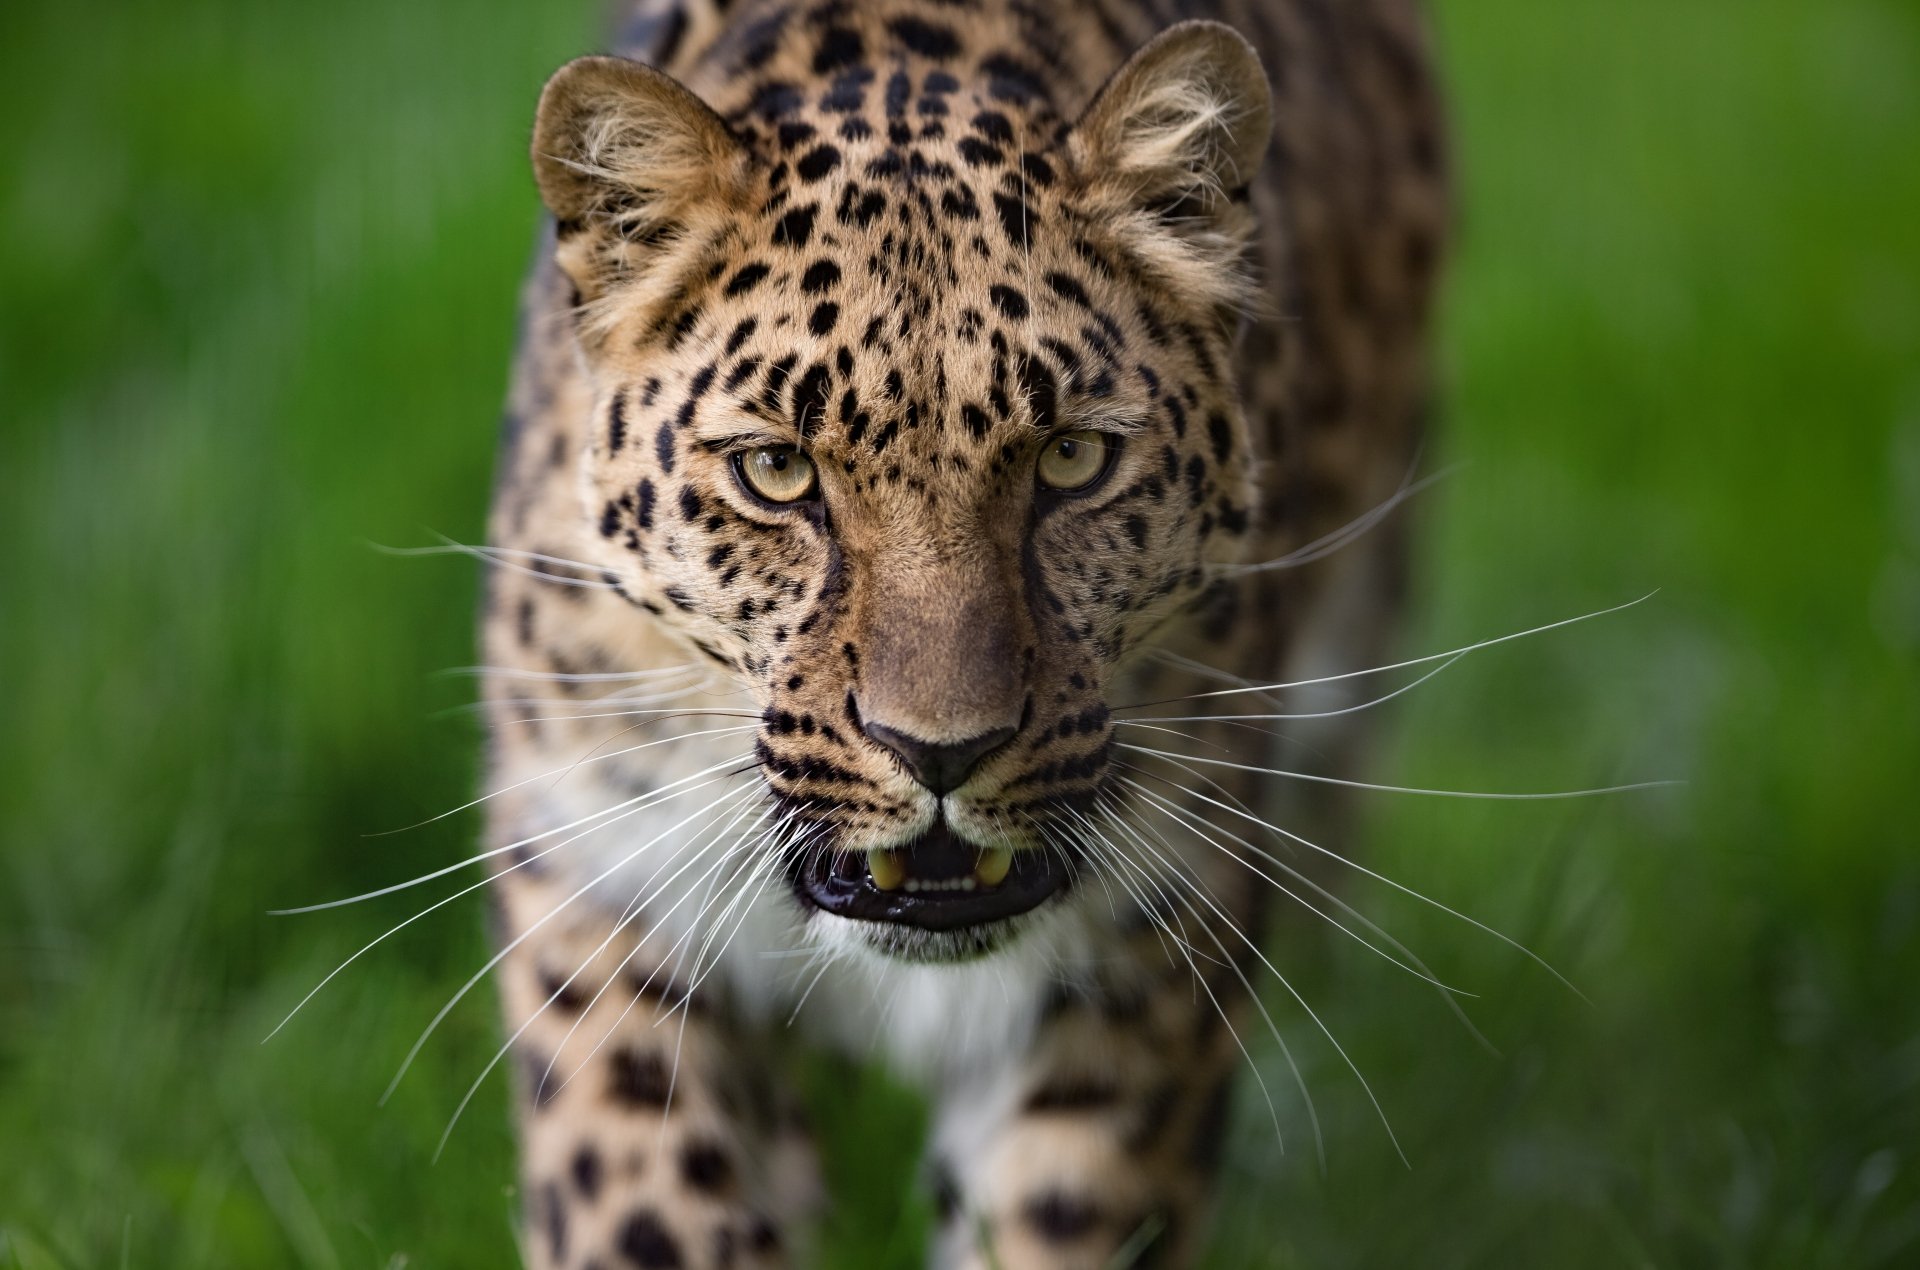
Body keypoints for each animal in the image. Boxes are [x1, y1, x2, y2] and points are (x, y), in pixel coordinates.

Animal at [477, 0, 1445, 1264]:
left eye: (1073, 459)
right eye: (777, 470)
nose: (941, 752)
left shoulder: (1150, 935)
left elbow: (1064, 1211)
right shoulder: (596, 865)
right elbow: (642, 1199)